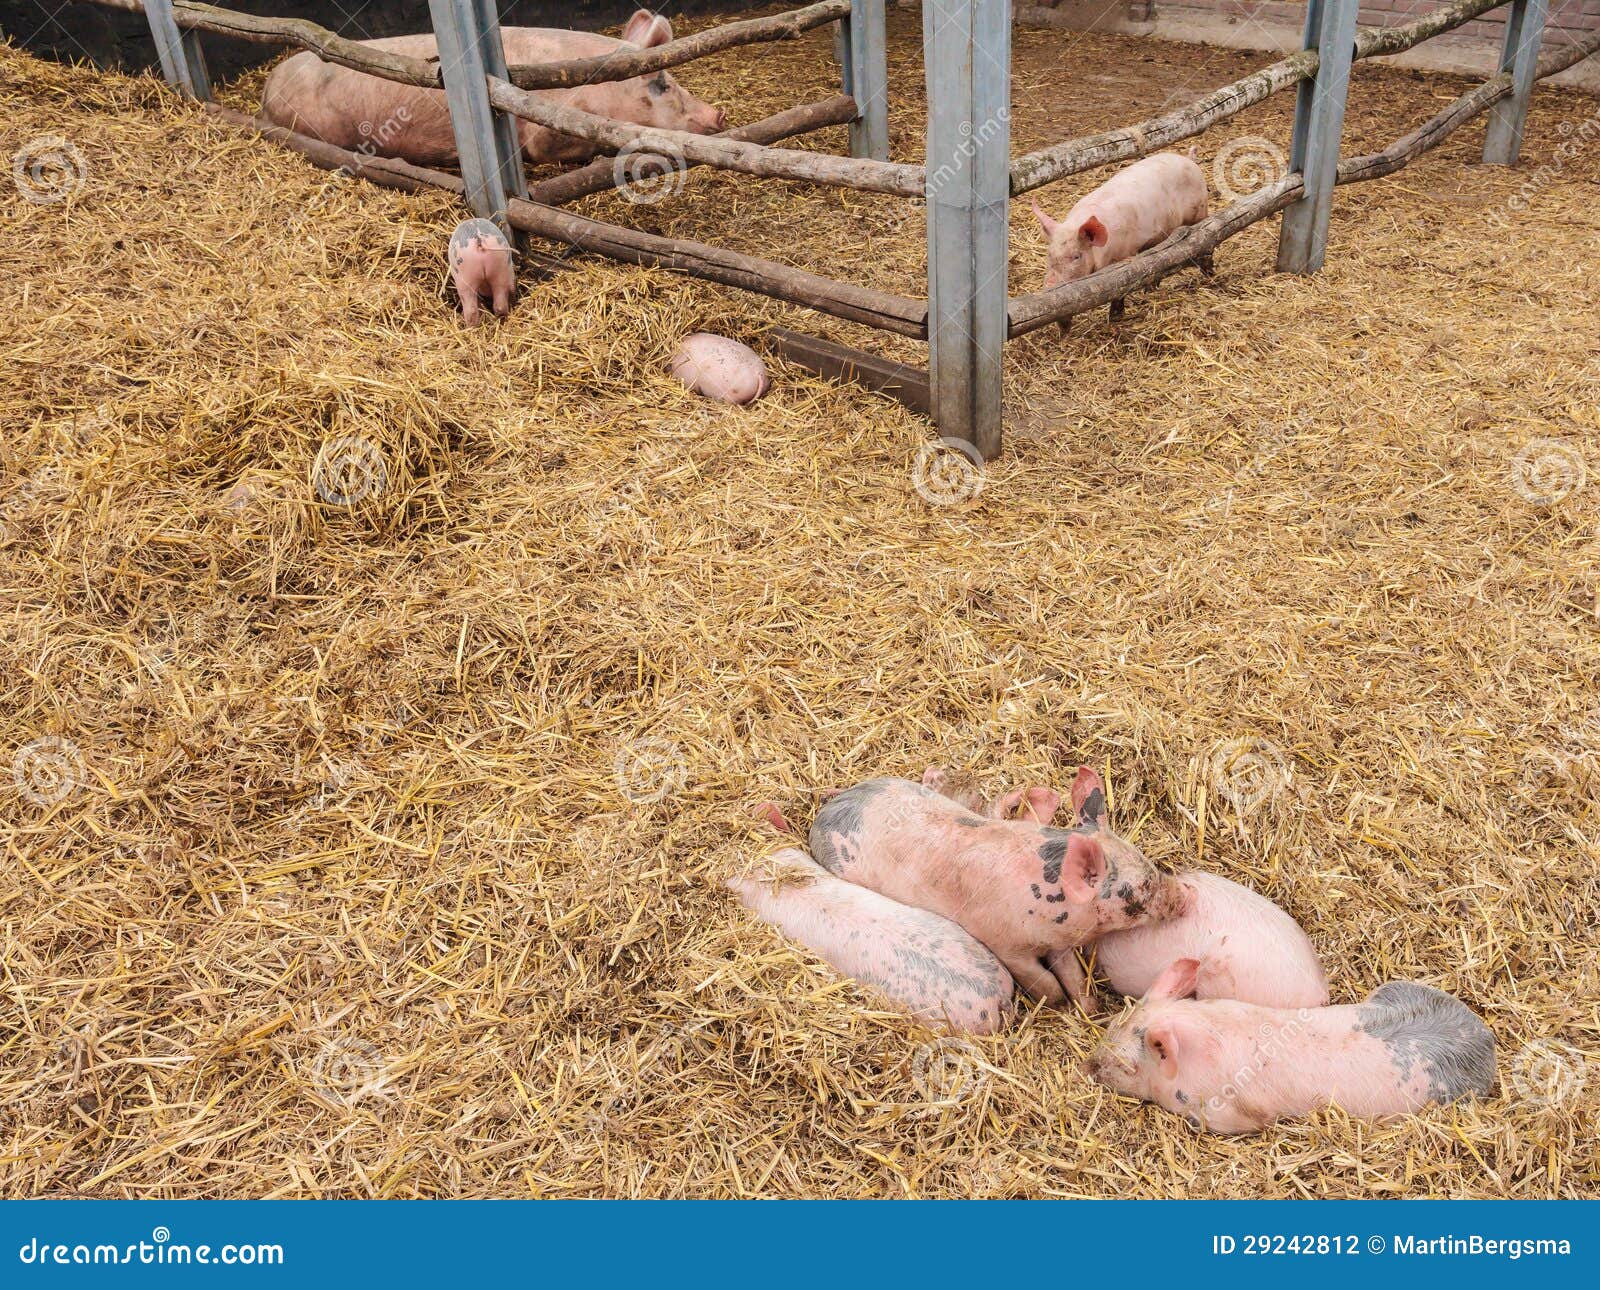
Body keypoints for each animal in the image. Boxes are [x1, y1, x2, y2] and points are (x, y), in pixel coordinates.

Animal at [809, 766, 1189, 1010]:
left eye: (1148, 863)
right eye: (1134, 891)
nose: (1184, 895)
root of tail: (829, 809)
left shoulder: (1060, 943)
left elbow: (1074, 976)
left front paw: (1090, 1008)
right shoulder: (1007, 948)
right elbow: (1045, 984)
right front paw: (1060, 1006)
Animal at [1031, 149, 1211, 329]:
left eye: (1076, 256)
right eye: (1049, 254)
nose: (1050, 285)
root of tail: (1188, 160)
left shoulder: (1124, 255)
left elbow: (1119, 289)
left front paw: (1115, 318)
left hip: (1200, 210)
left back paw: (1209, 275)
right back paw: (1150, 290)